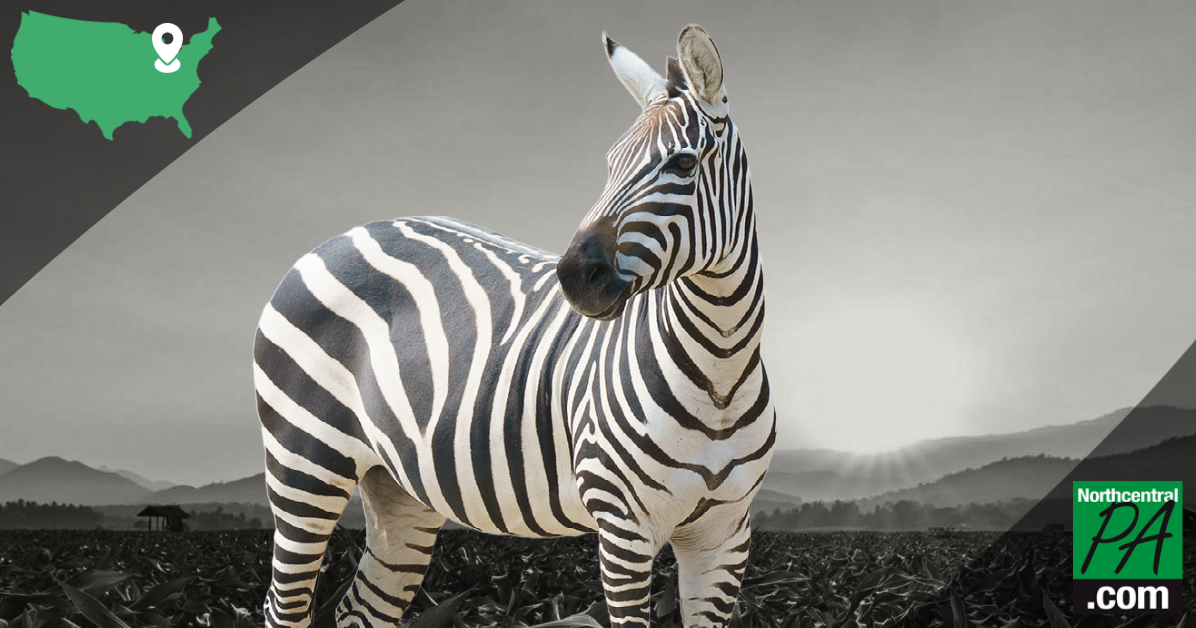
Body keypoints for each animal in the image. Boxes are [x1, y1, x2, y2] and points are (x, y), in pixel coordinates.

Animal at [253, 24, 774, 628]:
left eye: (685, 166)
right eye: (610, 163)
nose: (574, 277)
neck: (720, 368)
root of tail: (337, 237)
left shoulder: (725, 537)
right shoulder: (624, 528)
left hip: (397, 485)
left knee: (358, 609)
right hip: (303, 463)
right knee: (283, 604)